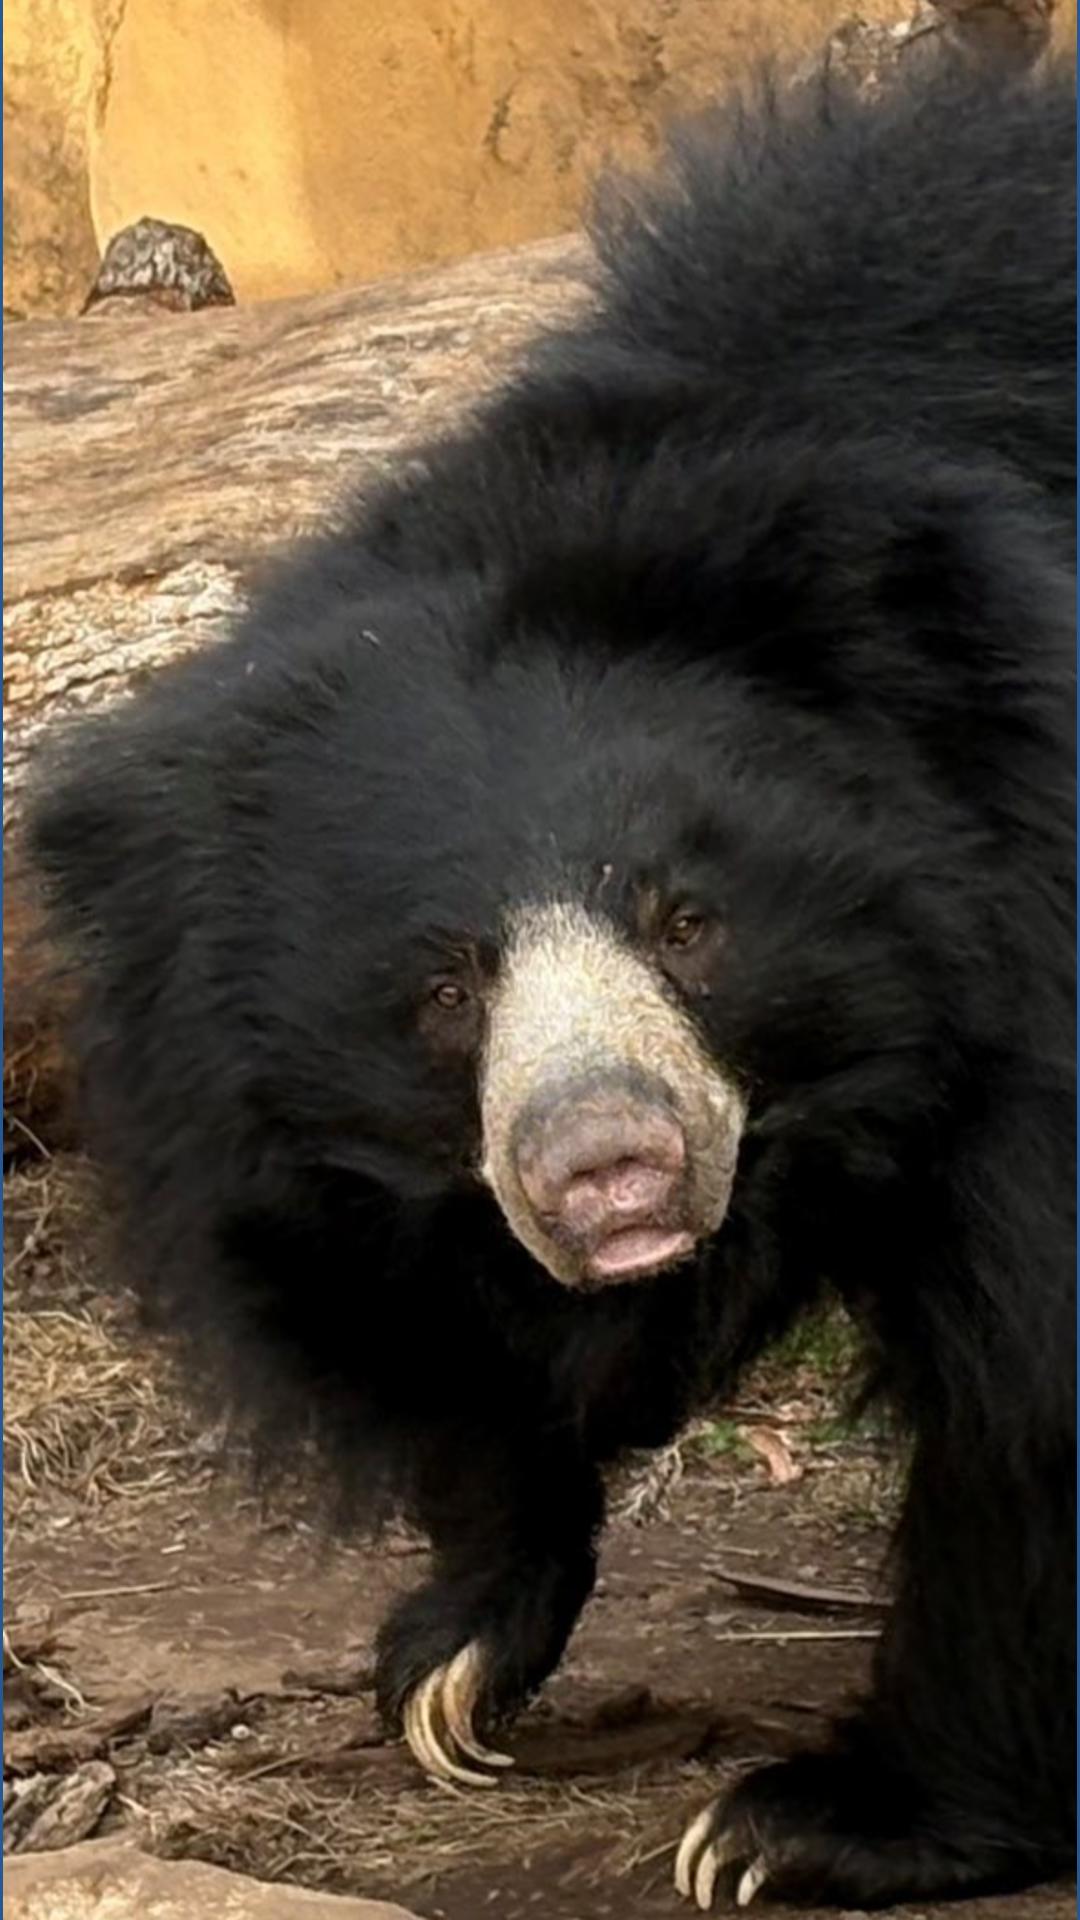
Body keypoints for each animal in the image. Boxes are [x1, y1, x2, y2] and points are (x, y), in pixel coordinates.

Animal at [27, 57, 1075, 1910]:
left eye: (687, 919)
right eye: (444, 988)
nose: (612, 1169)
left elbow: (1034, 1392)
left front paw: (811, 1823)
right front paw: (450, 1655)